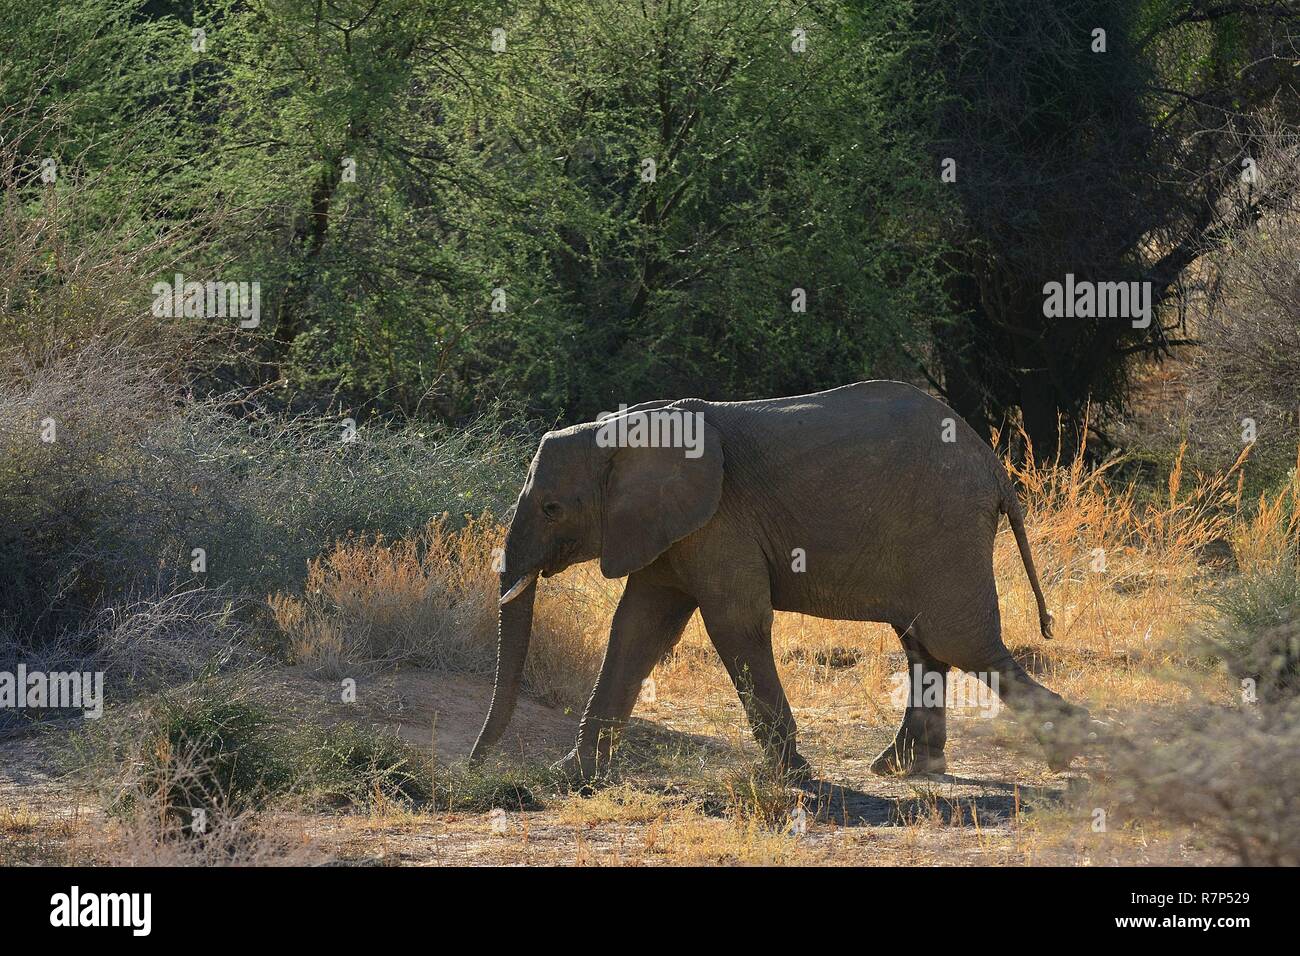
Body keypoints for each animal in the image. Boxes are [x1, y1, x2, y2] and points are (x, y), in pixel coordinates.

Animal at [469, 380, 1095, 782]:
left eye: (552, 509)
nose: (475, 765)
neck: (621, 431)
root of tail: (993, 466)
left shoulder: (719, 520)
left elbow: (735, 624)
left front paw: (793, 774)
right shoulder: (670, 528)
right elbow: (637, 628)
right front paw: (571, 775)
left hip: (946, 524)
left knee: (957, 640)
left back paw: (1070, 753)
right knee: (925, 641)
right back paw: (902, 768)